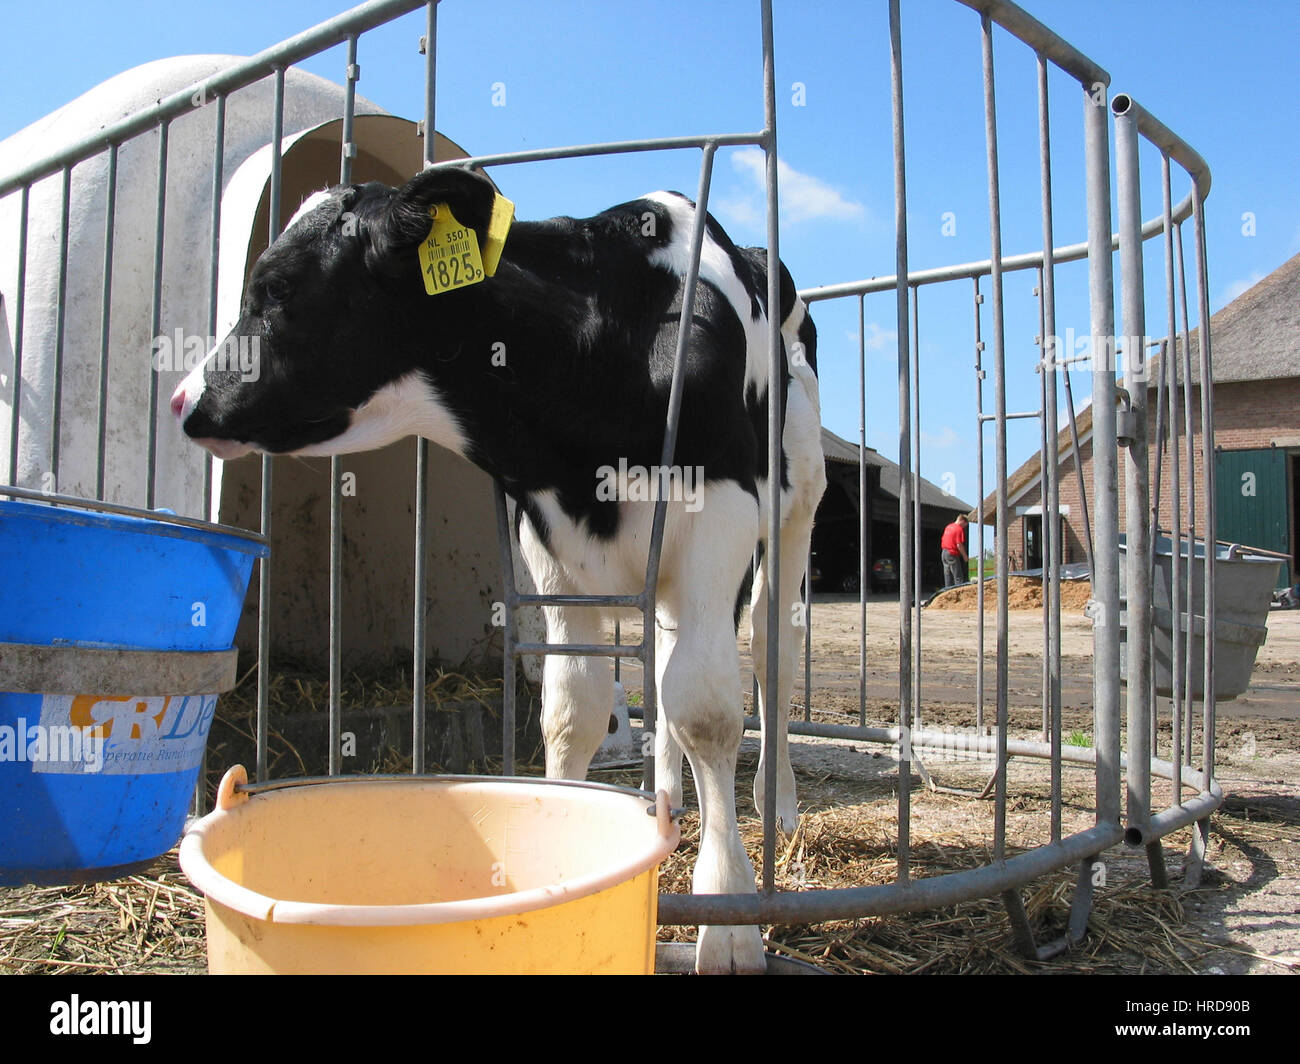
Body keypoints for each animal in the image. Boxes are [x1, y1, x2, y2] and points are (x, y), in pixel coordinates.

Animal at [171, 165, 826, 973]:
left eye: (277, 288)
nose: (185, 401)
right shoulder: (545, 541)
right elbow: (574, 711)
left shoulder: (719, 517)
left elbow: (706, 712)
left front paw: (730, 923)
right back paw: (667, 792)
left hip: (794, 509)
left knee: (770, 650)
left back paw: (779, 803)